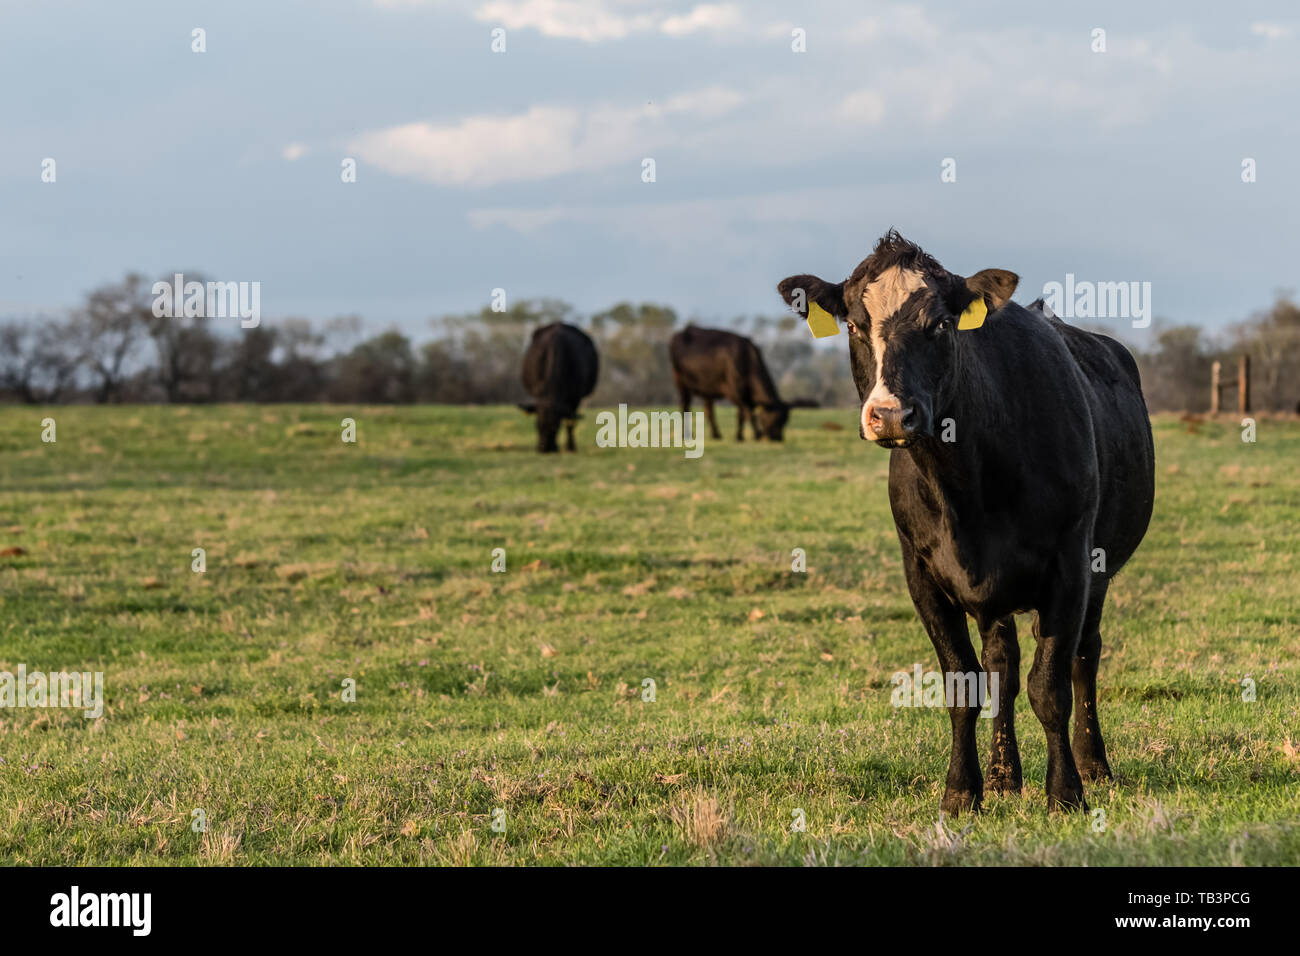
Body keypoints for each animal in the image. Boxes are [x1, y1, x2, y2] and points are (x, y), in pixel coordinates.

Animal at [519, 322, 599, 453]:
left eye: (555, 426)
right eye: (537, 424)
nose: (544, 448)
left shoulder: (576, 397)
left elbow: (570, 422)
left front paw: (570, 447)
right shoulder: (538, 393)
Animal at [669, 325, 815, 442]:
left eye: (785, 420)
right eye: (774, 419)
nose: (778, 438)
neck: (746, 358)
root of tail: (683, 331)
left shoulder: (743, 395)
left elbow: (741, 416)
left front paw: (739, 437)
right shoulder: (735, 392)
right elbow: (748, 414)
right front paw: (757, 435)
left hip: (707, 388)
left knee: (709, 411)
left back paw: (716, 435)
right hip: (680, 383)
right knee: (685, 407)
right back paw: (686, 435)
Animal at [778, 230, 1154, 813]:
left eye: (940, 324)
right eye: (856, 325)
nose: (891, 414)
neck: (967, 488)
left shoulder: (1071, 565)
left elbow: (1051, 685)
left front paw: (1065, 792)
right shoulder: (922, 574)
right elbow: (965, 684)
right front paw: (962, 790)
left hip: (1101, 571)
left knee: (1083, 656)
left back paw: (1093, 765)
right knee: (1003, 664)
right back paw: (1003, 775)